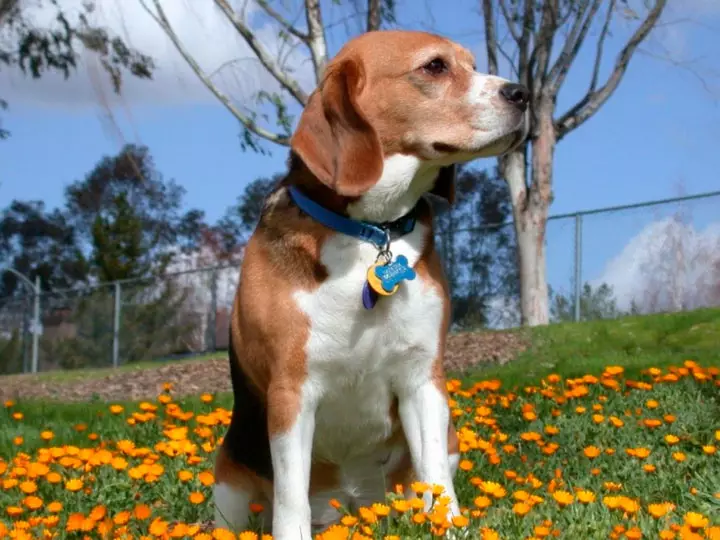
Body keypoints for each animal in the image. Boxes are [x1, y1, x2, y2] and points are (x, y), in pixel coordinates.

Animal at [211, 30, 524, 540]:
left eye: (473, 63)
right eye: (435, 67)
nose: (523, 94)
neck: (371, 234)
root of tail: (354, 506)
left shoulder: (422, 378)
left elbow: (438, 484)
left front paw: (448, 527)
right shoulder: (291, 392)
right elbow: (291, 500)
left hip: (447, 433)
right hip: (227, 479)